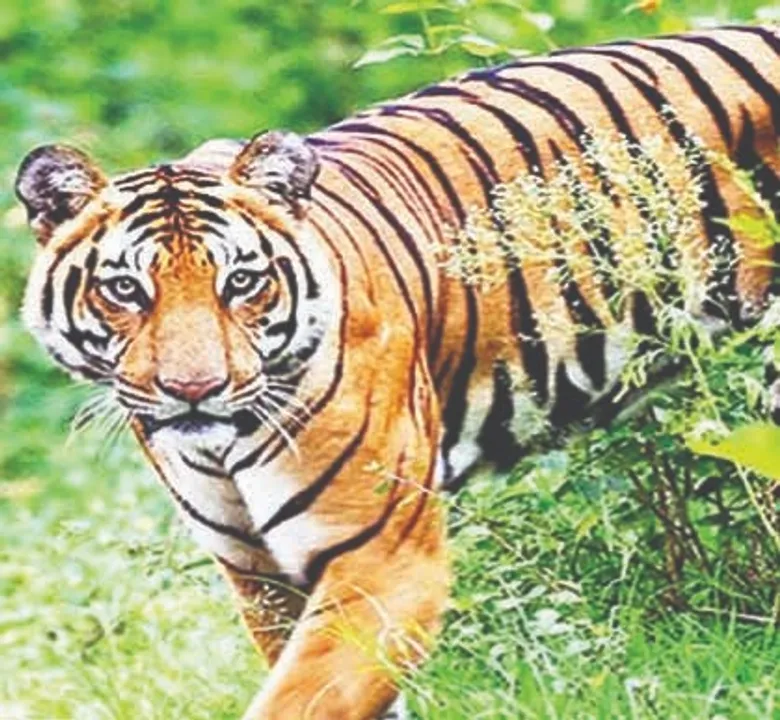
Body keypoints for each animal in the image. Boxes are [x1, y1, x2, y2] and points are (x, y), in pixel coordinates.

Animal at [16, 23, 780, 720]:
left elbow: (298, 701)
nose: (194, 391)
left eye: (241, 282)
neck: (220, 449)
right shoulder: (261, 575)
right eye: (125, 290)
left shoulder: (381, 561)